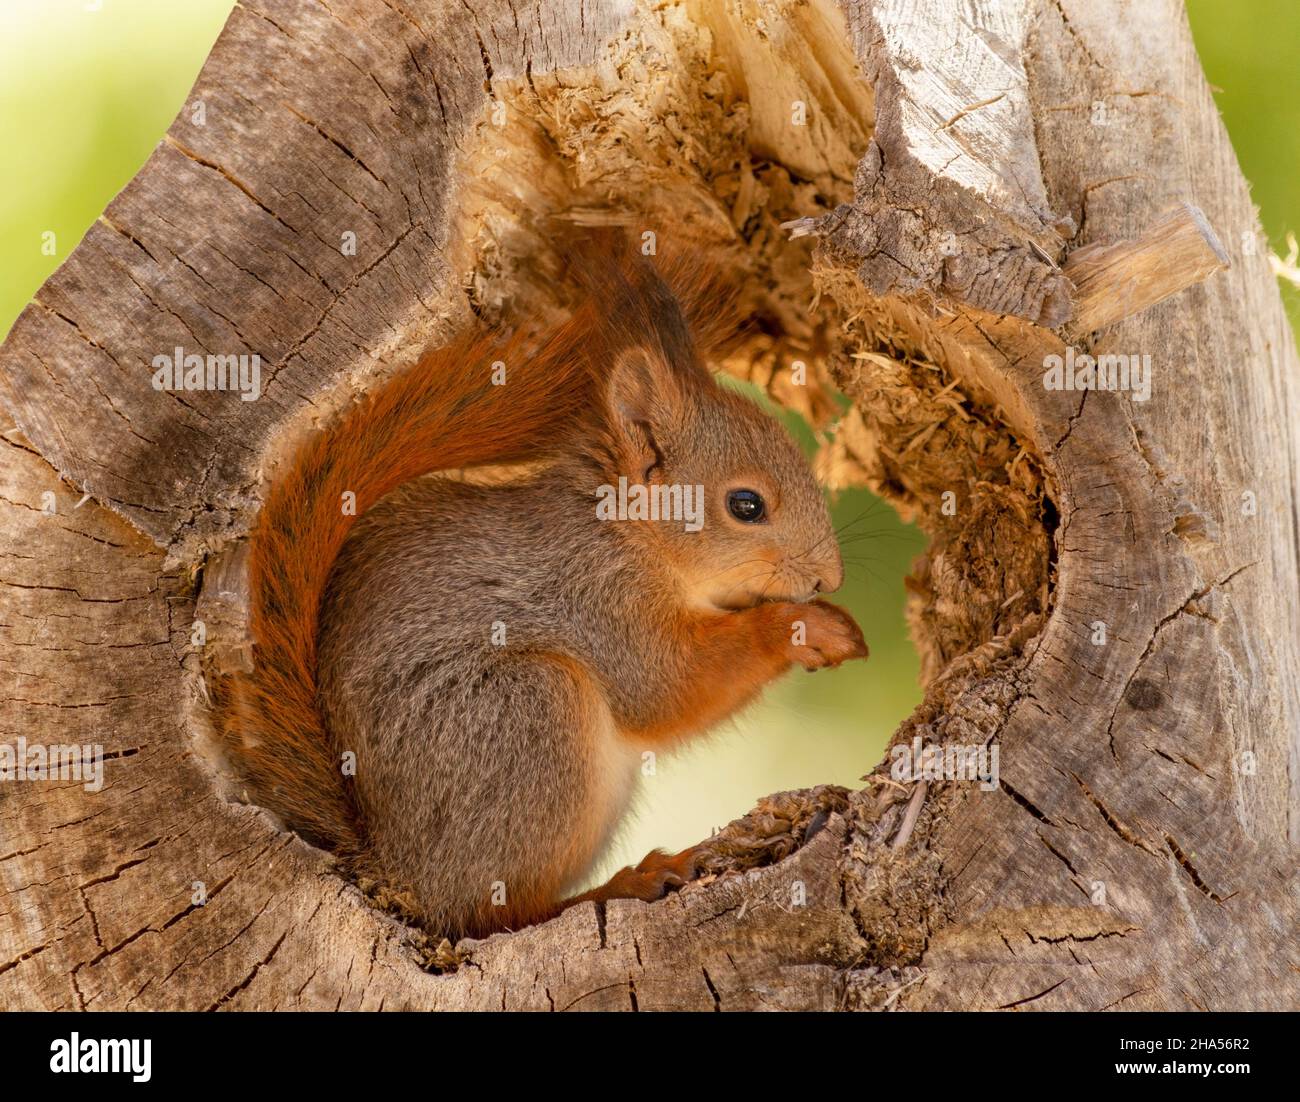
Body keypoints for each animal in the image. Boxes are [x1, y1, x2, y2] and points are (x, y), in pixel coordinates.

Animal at [215, 239, 868, 939]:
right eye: (746, 505)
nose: (829, 576)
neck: (629, 535)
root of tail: (399, 874)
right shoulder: (595, 602)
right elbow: (664, 686)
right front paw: (808, 628)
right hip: (526, 716)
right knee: (497, 912)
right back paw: (626, 882)